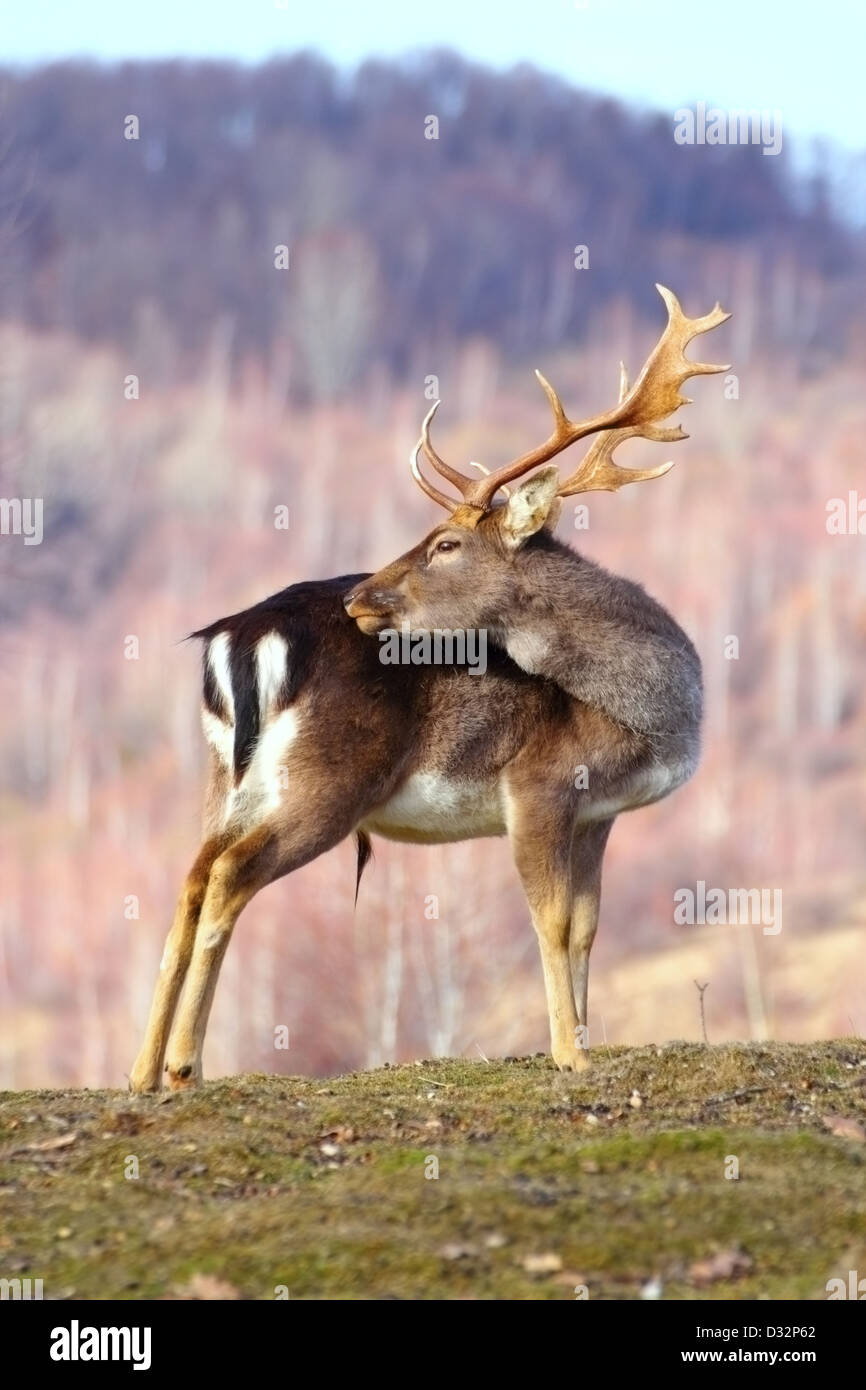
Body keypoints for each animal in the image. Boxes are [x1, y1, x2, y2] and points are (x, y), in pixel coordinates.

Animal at [129, 285, 729, 1093]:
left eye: (447, 542)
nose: (361, 595)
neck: (648, 716)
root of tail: (240, 637)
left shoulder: (597, 813)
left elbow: (586, 925)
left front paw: (582, 1038)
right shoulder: (536, 783)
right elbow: (551, 921)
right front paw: (568, 1053)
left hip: (226, 778)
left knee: (191, 877)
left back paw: (140, 1071)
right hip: (326, 780)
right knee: (229, 875)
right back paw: (185, 1066)